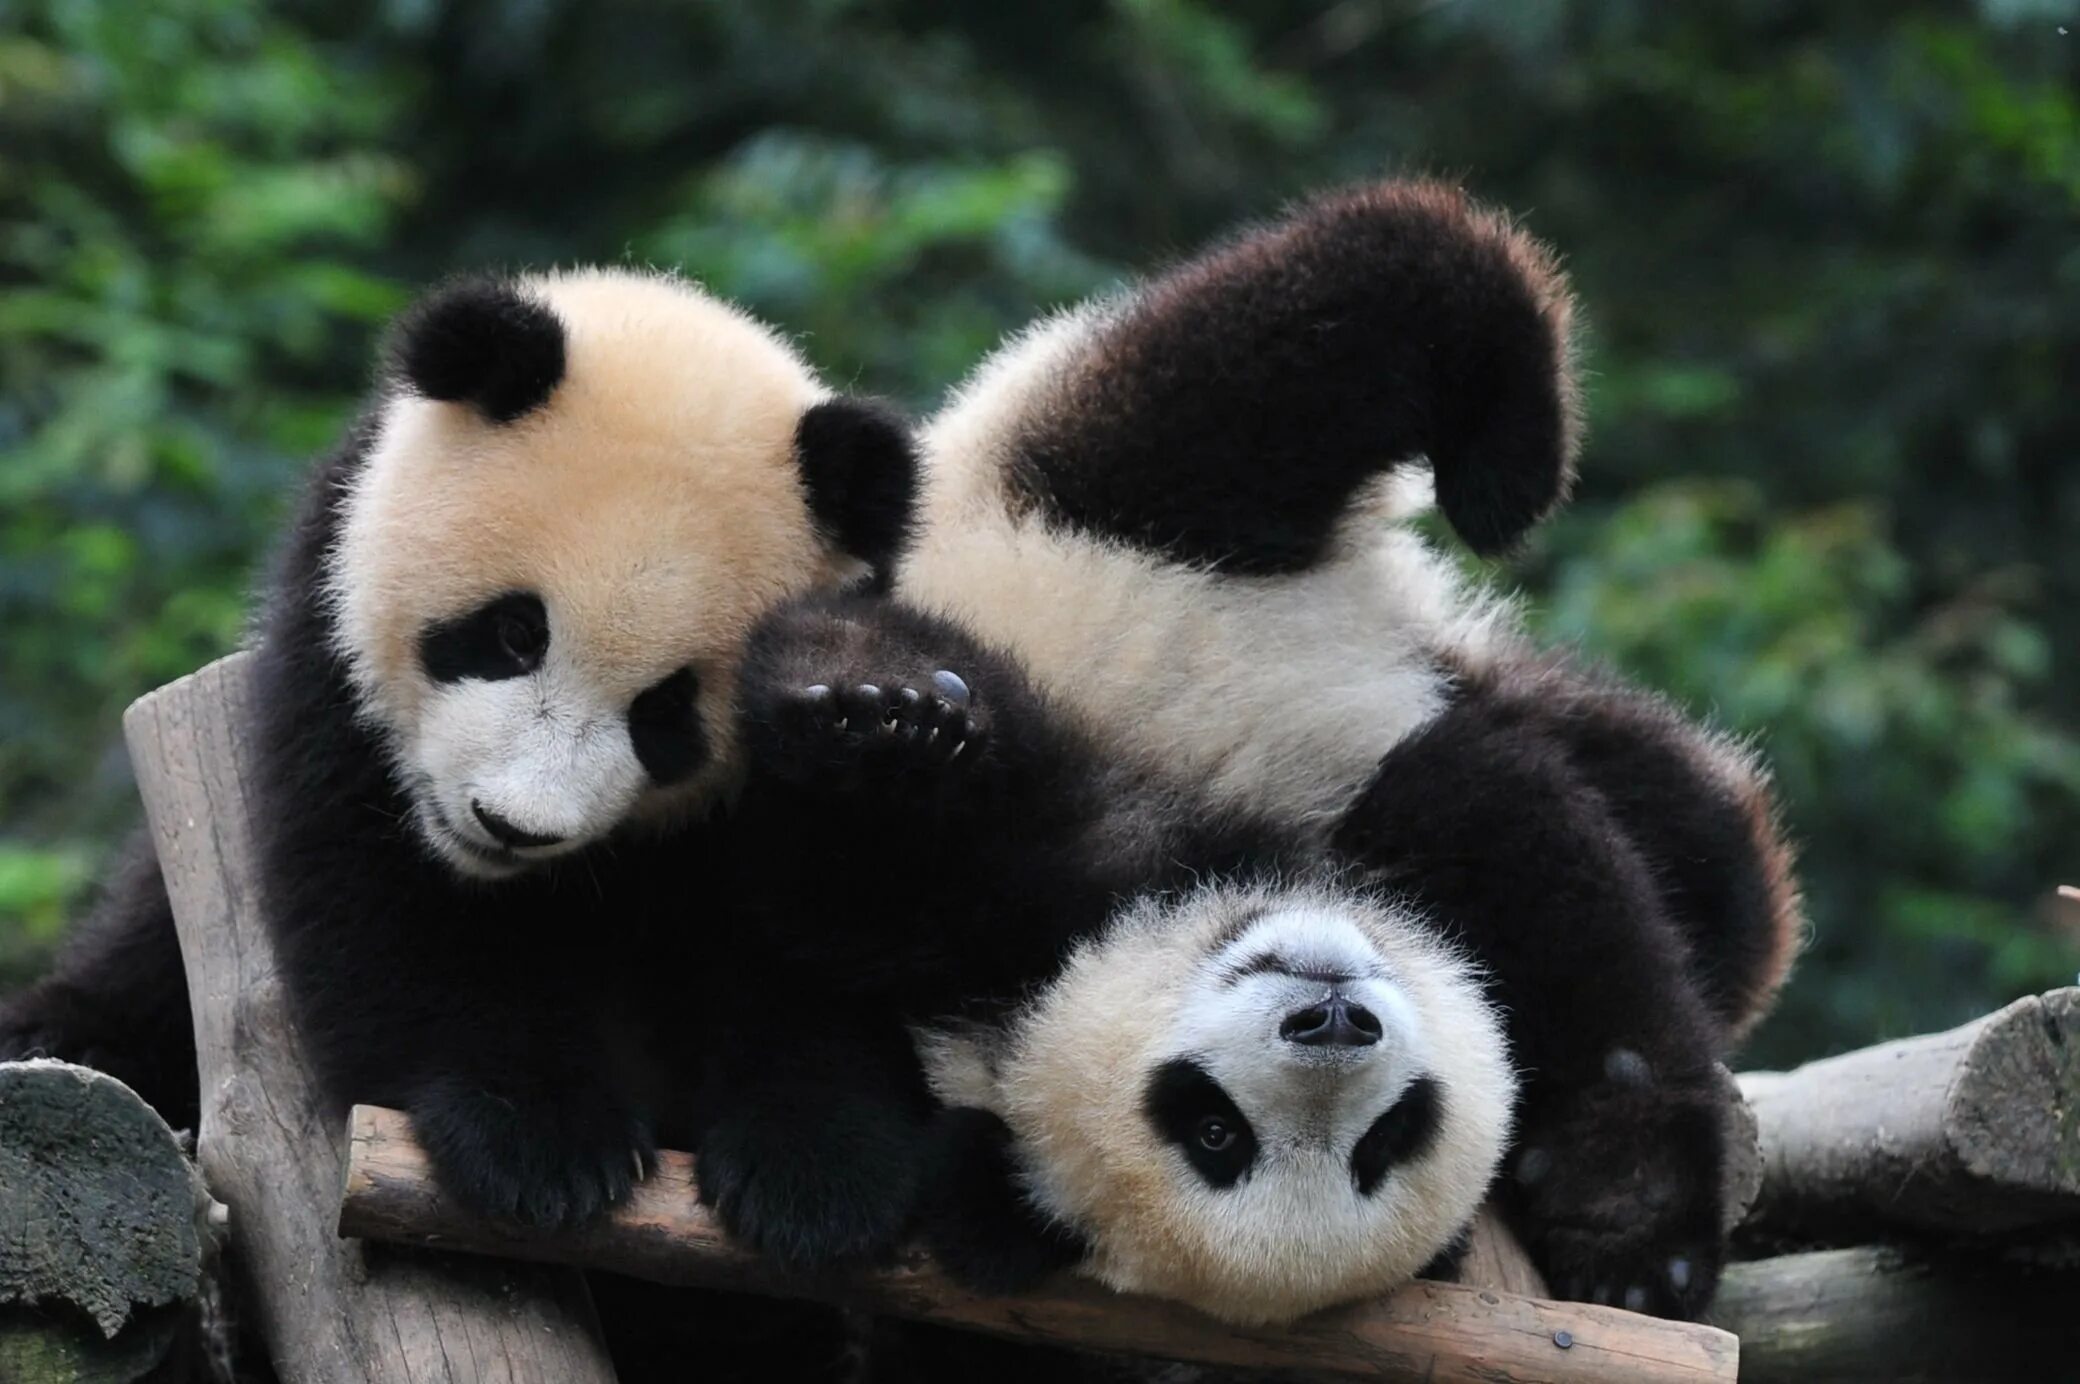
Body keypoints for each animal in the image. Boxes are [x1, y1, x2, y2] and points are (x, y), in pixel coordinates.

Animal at [875, 179, 1804, 1319]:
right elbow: (1485, 825)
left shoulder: (1026, 843)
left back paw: (1504, 454)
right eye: (1219, 1133)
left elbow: (1529, 874)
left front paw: (1632, 1222)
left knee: (1311, 331)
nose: (1329, 1019)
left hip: (1099, 518)